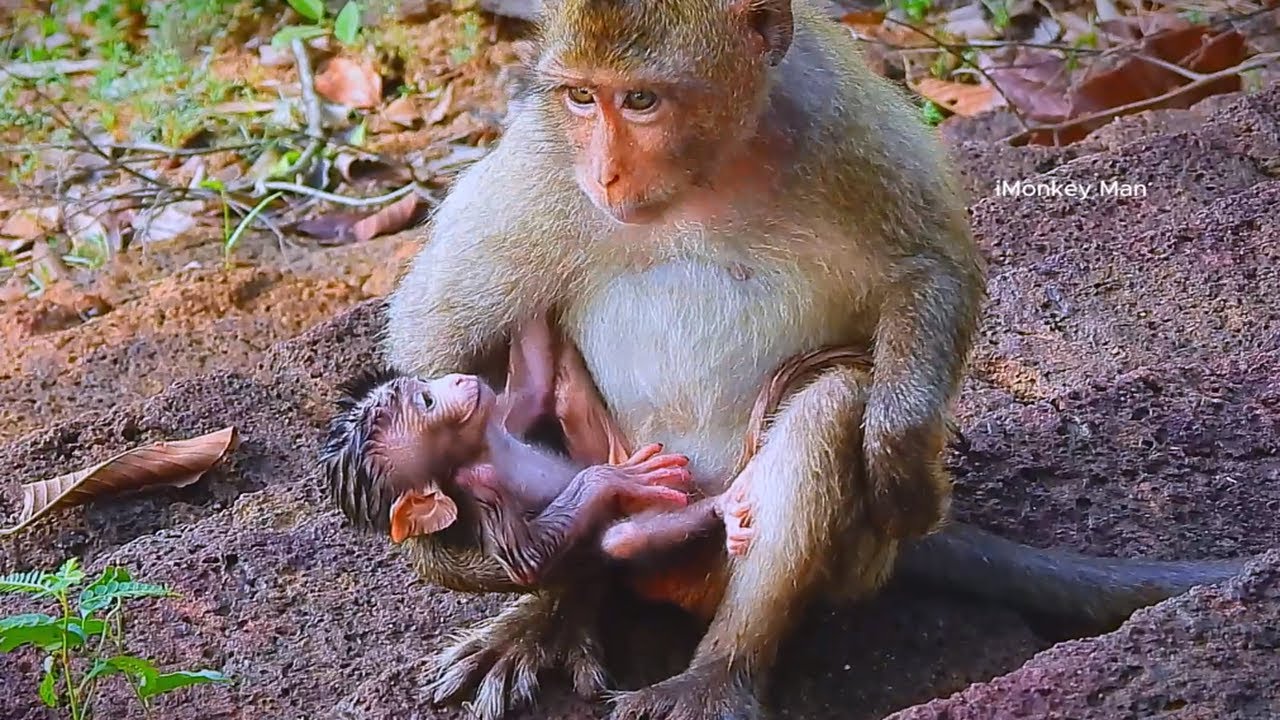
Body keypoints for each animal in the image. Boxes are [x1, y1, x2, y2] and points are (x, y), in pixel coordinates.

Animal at [374, 2, 1247, 719]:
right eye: (582, 99)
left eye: (643, 101)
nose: (606, 172)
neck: (707, 172)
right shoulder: (543, 157)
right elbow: (443, 325)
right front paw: (440, 529)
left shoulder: (843, 122)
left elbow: (930, 269)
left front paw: (901, 456)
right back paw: (555, 608)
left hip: (824, 556)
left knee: (828, 407)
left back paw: (717, 673)